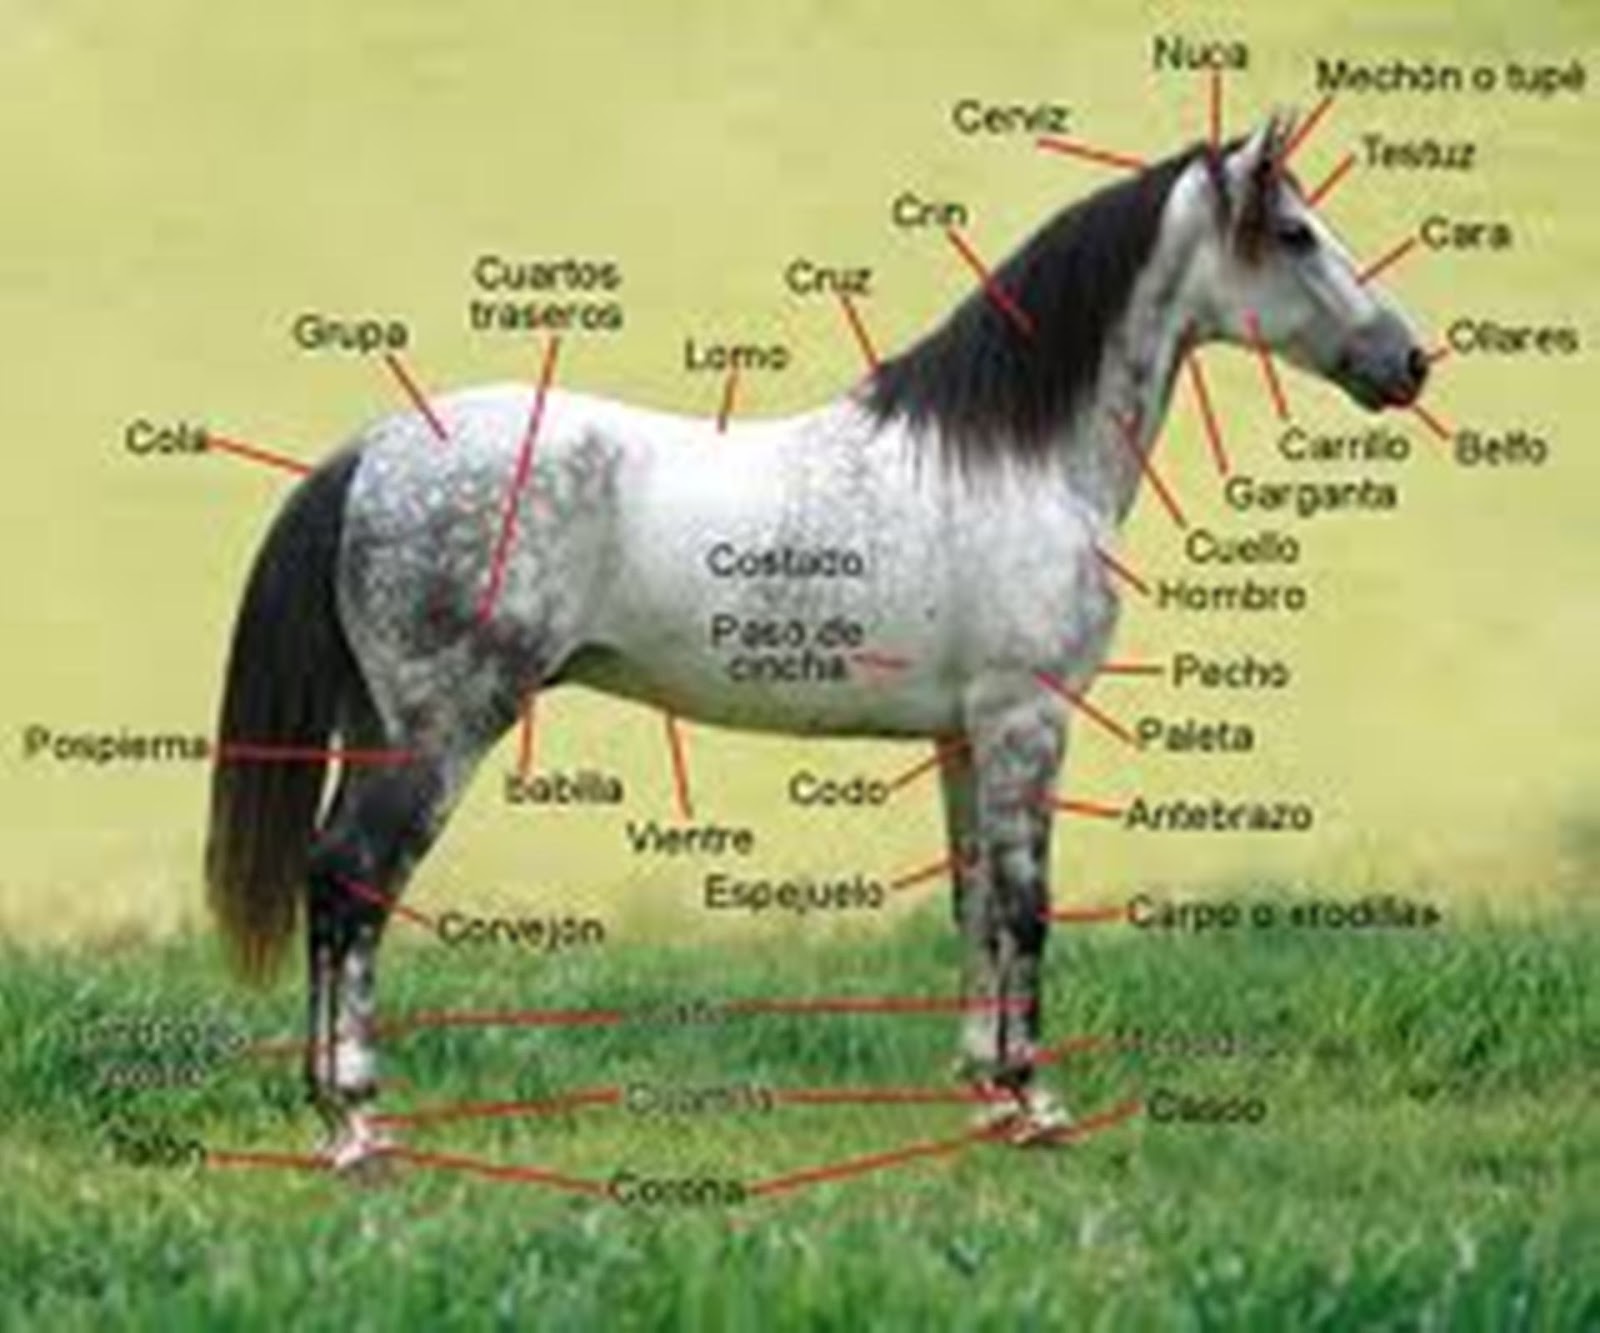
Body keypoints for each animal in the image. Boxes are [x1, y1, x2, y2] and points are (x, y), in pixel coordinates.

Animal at [205, 113, 1428, 1169]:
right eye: (1294, 232)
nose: (1410, 362)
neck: (1018, 458)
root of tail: (376, 449)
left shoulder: (964, 734)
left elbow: (974, 902)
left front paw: (984, 1093)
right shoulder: (1025, 718)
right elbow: (1027, 905)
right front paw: (1035, 1103)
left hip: (381, 720)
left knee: (334, 880)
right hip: (443, 730)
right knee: (354, 879)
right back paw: (355, 1120)